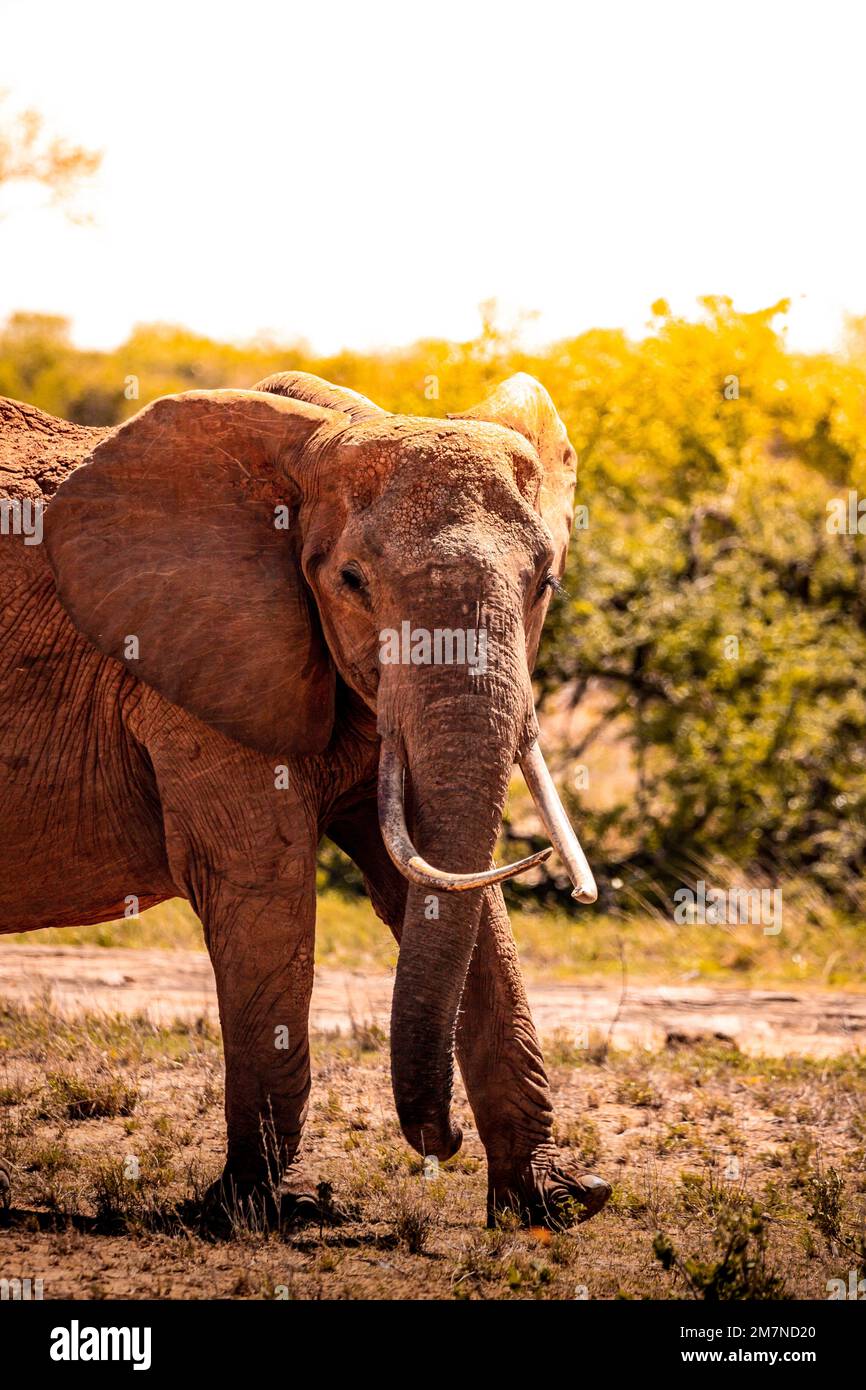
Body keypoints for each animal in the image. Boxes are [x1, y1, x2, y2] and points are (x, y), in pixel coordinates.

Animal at [0, 371, 611, 1230]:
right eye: (352, 583)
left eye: (544, 583)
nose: (443, 1141)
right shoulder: (202, 668)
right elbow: (265, 887)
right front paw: (253, 1210)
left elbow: (439, 882)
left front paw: (558, 1203)